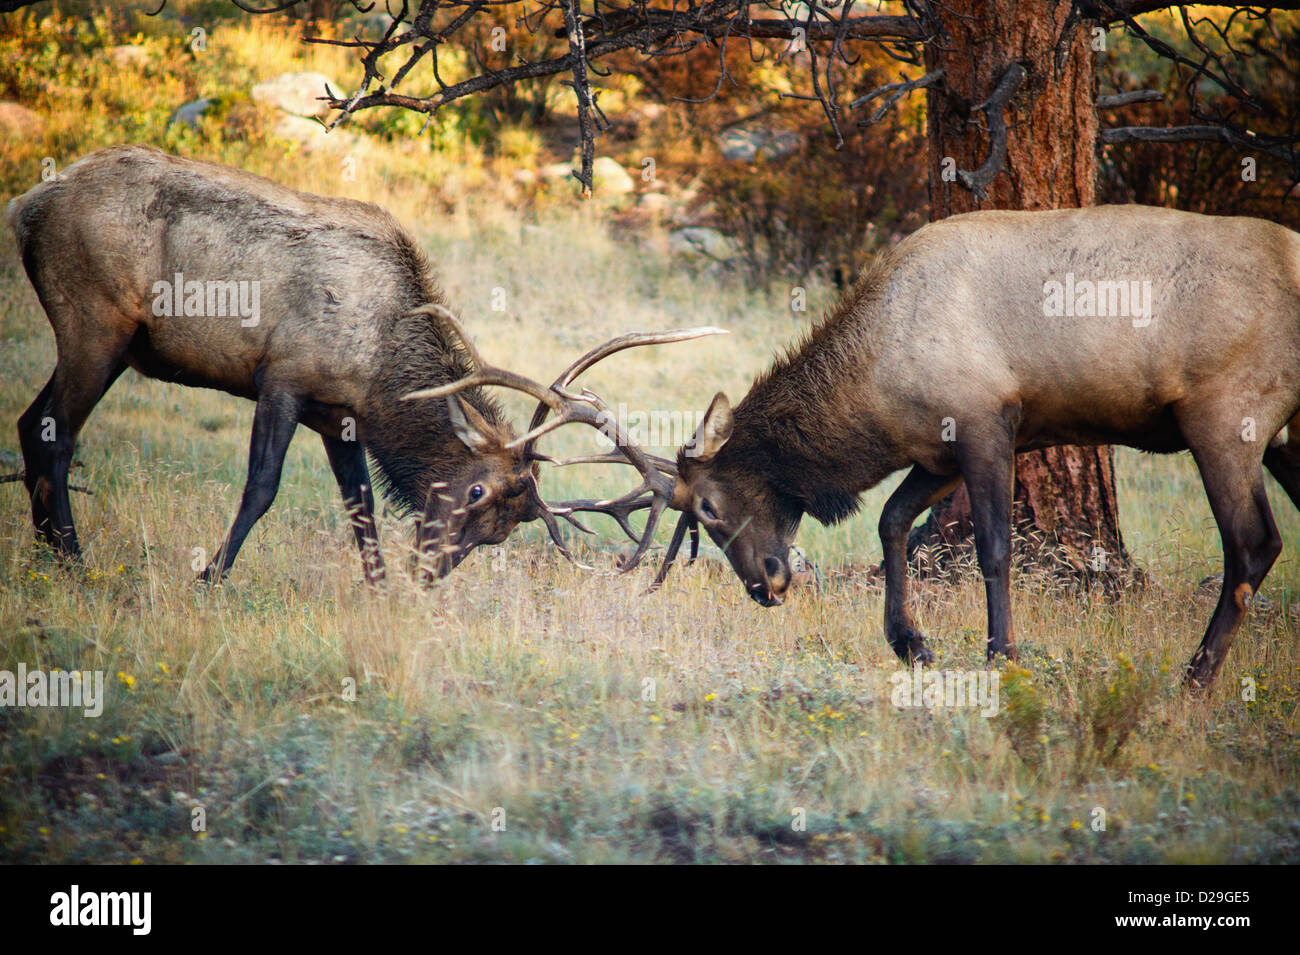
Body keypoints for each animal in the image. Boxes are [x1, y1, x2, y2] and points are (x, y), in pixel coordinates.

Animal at [7, 144, 719, 584]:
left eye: (498, 533)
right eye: (476, 490)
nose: (428, 573)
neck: (379, 373)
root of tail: (25, 208)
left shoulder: (338, 416)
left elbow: (361, 506)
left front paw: (378, 592)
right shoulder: (284, 376)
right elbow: (262, 486)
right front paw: (210, 577)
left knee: (30, 423)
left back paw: (51, 555)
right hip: (94, 322)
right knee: (55, 433)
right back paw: (73, 560)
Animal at [434, 205, 1300, 690]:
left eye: (707, 506)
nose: (767, 584)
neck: (876, 390)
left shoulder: (988, 419)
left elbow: (992, 546)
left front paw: (1001, 655)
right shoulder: (935, 450)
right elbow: (890, 523)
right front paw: (910, 641)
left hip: (1227, 413)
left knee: (1254, 543)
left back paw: (1195, 677)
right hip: (1286, 430)